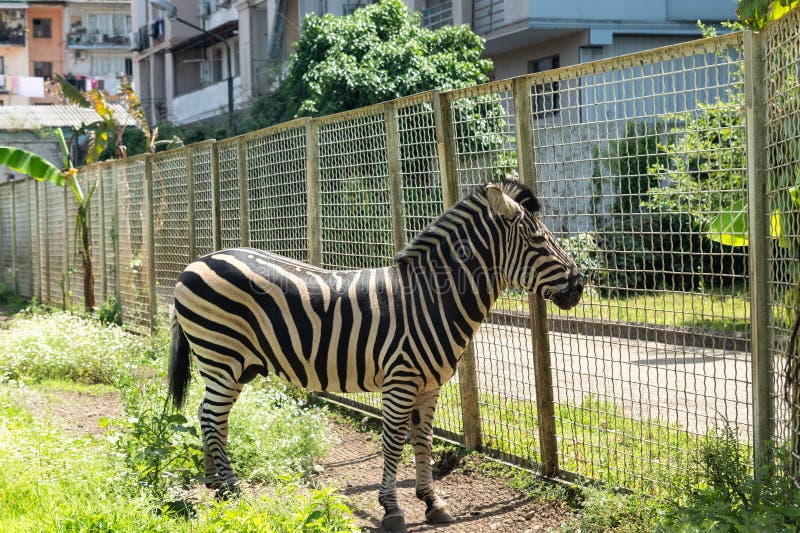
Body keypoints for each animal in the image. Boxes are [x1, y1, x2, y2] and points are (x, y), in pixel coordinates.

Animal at [168, 180, 583, 532]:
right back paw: (231, 491)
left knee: (210, 417)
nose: (580, 285)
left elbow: (423, 440)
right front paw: (393, 509)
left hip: (231, 366)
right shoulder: (400, 381)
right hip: (222, 357)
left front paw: (432, 503)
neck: (432, 299)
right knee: (212, 418)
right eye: (538, 239)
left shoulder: (429, 386)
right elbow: (394, 442)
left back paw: (214, 481)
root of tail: (196, 261)